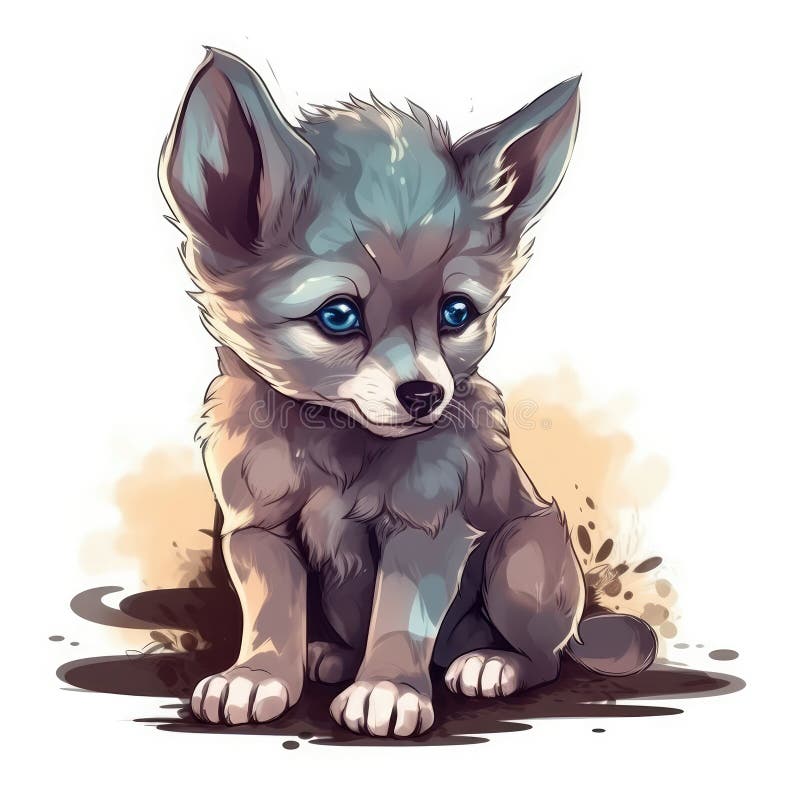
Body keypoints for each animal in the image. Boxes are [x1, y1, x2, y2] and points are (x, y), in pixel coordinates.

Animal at [158, 47, 657, 737]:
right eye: (338, 316)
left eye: (456, 313)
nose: (425, 395)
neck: (338, 441)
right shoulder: (260, 532)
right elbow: (271, 615)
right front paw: (257, 676)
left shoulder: (427, 531)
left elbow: (399, 619)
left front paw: (389, 689)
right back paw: (331, 656)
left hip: (522, 563)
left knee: (545, 659)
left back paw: (491, 664)